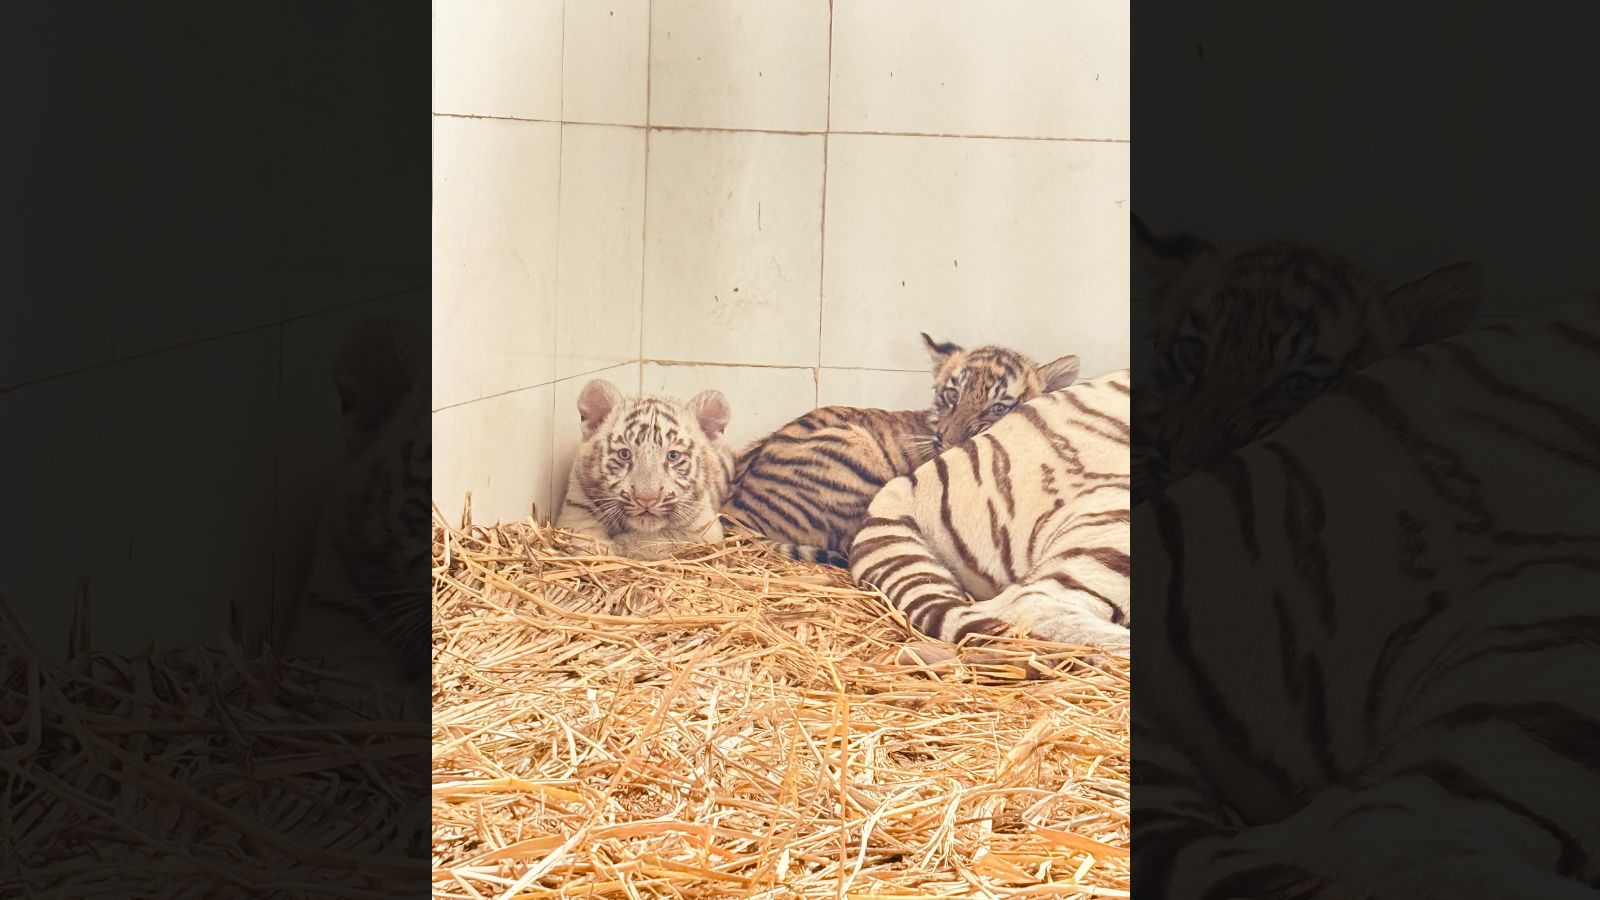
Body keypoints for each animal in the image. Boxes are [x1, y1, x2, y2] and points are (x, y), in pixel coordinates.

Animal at [557, 378, 736, 561]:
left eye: (673, 456)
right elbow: (585, 535)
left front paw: (623, 544)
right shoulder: (575, 509)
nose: (647, 499)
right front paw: (602, 550)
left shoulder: (705, 528)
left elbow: (660, 540)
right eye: (624, 454)